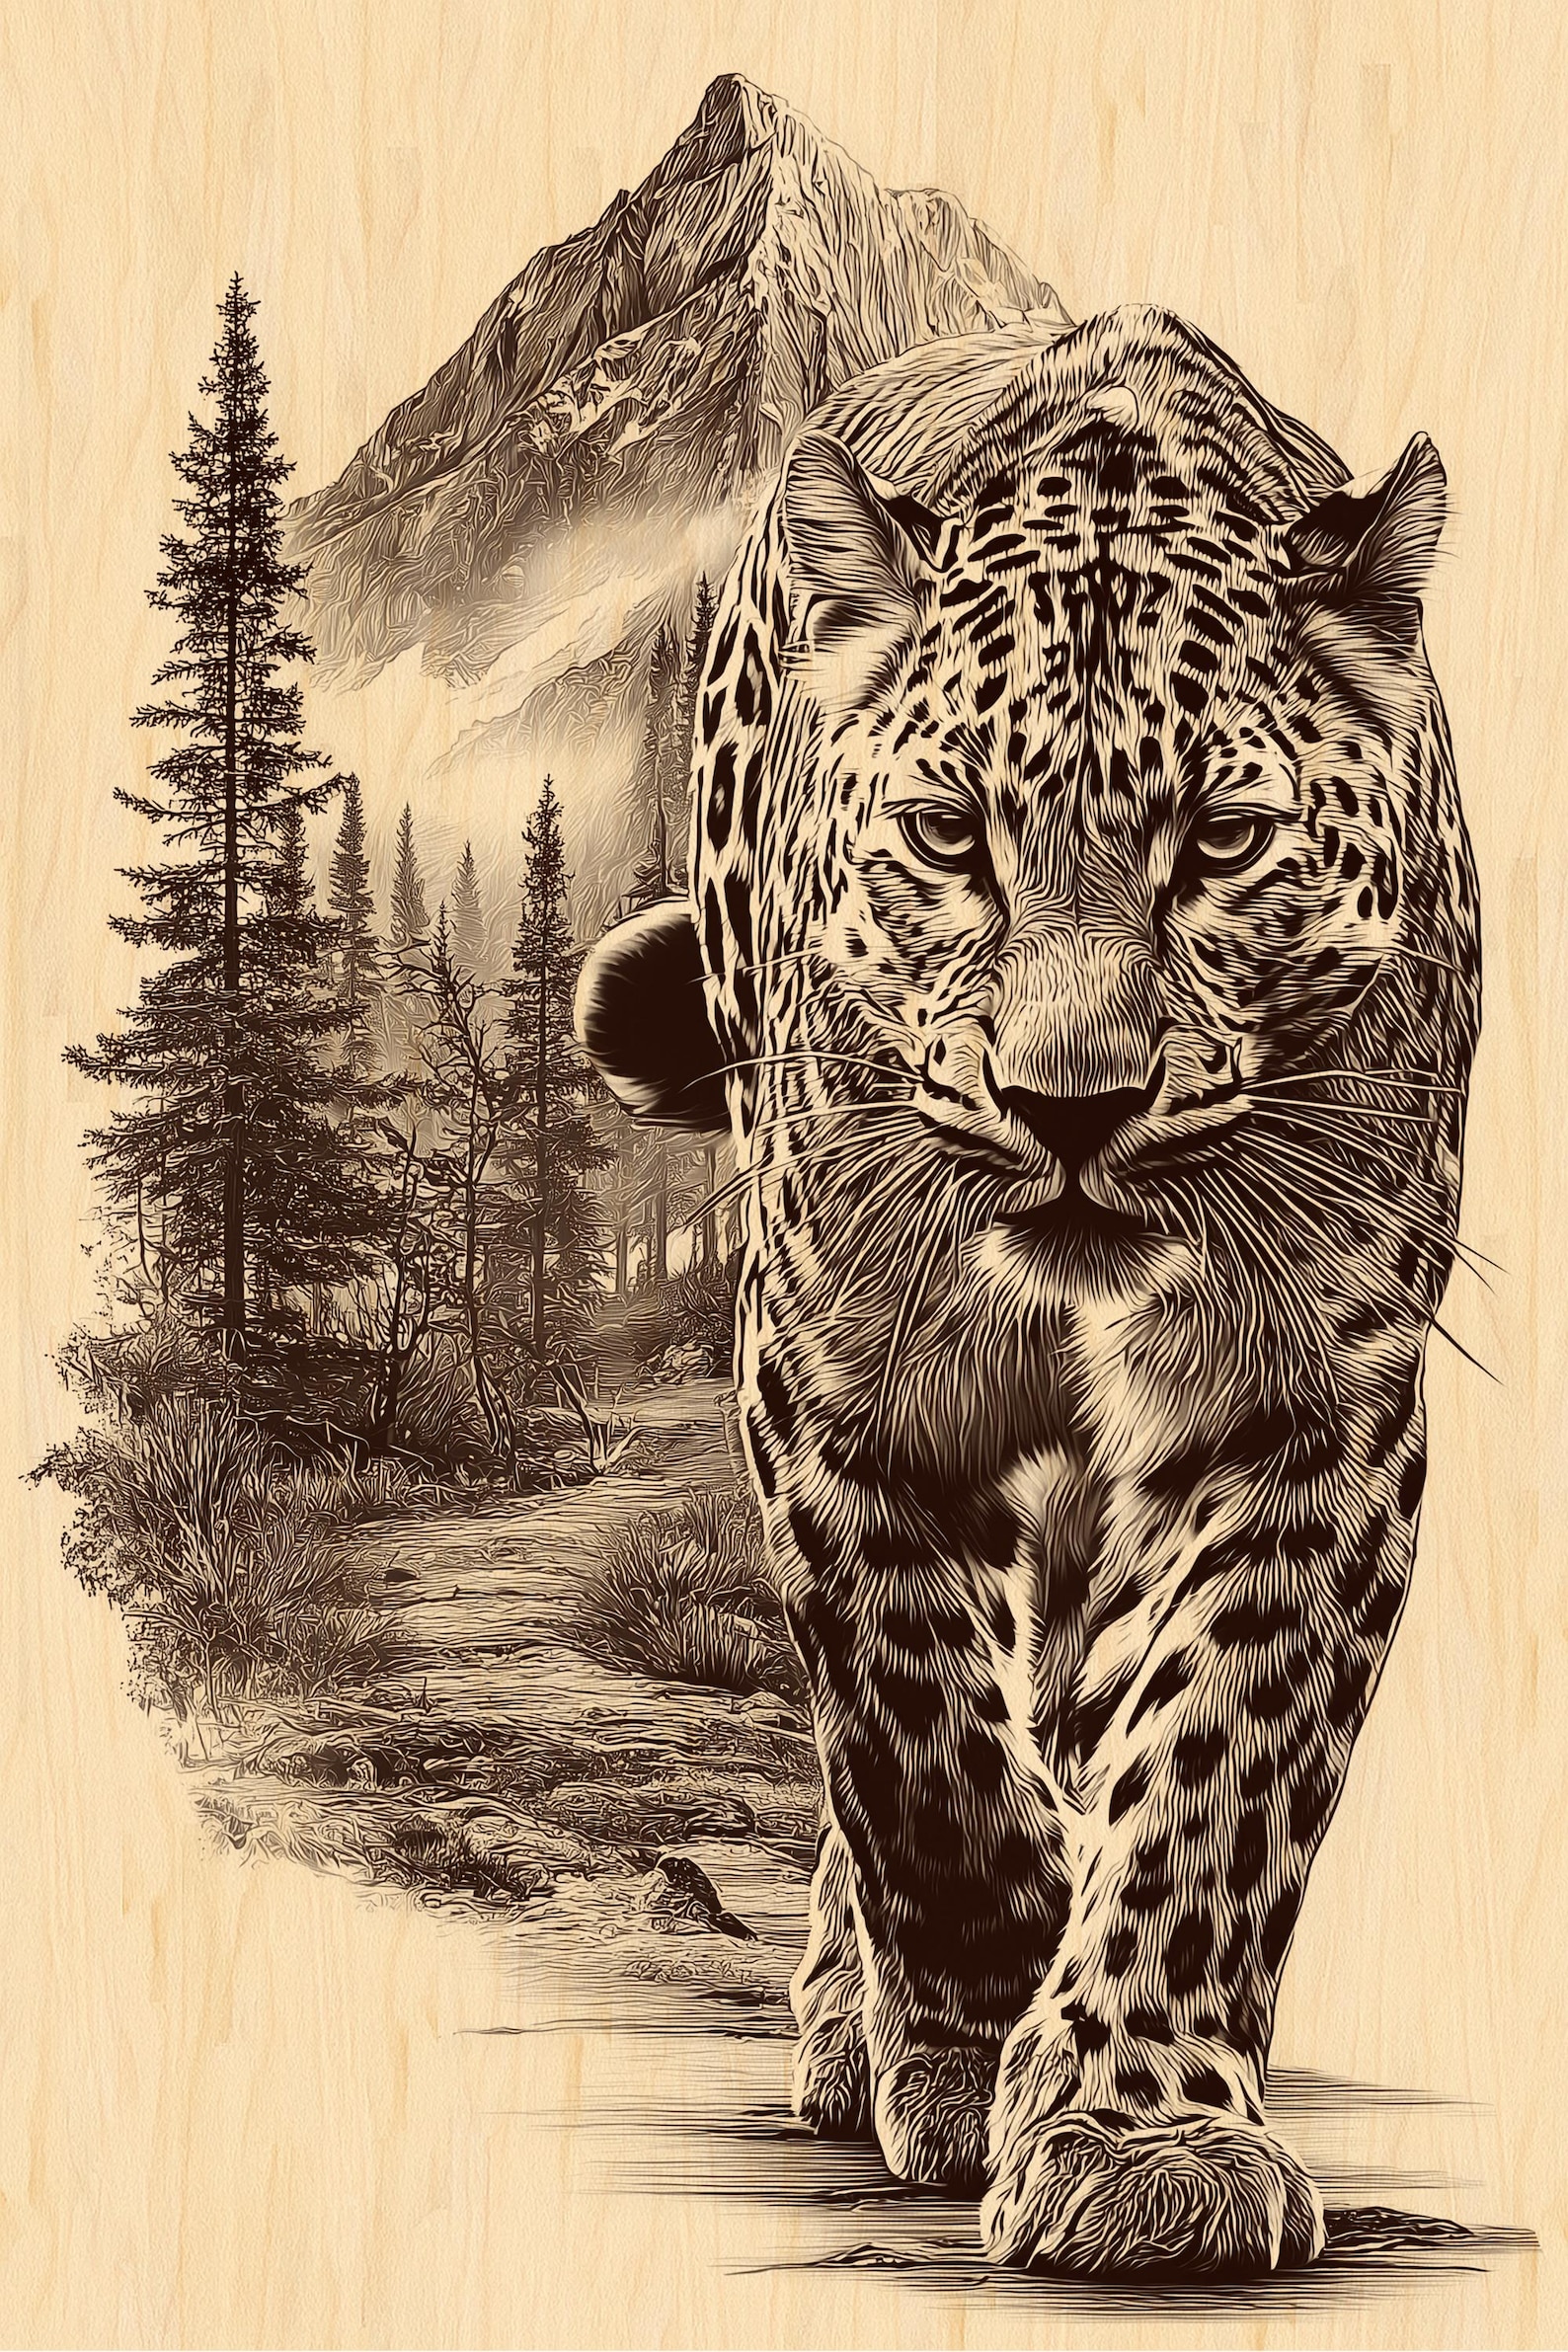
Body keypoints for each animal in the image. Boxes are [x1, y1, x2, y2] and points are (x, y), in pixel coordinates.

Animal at [576, 304, 1480, 2280]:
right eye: (944, 834)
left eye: (1219, 842)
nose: (1071, 1105)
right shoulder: (832, 1379)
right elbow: (917, 1744)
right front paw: (974, 2043)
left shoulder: (1313, 1403)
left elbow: (1216, 1766)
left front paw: (1141, 2130)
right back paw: (859, 2018)